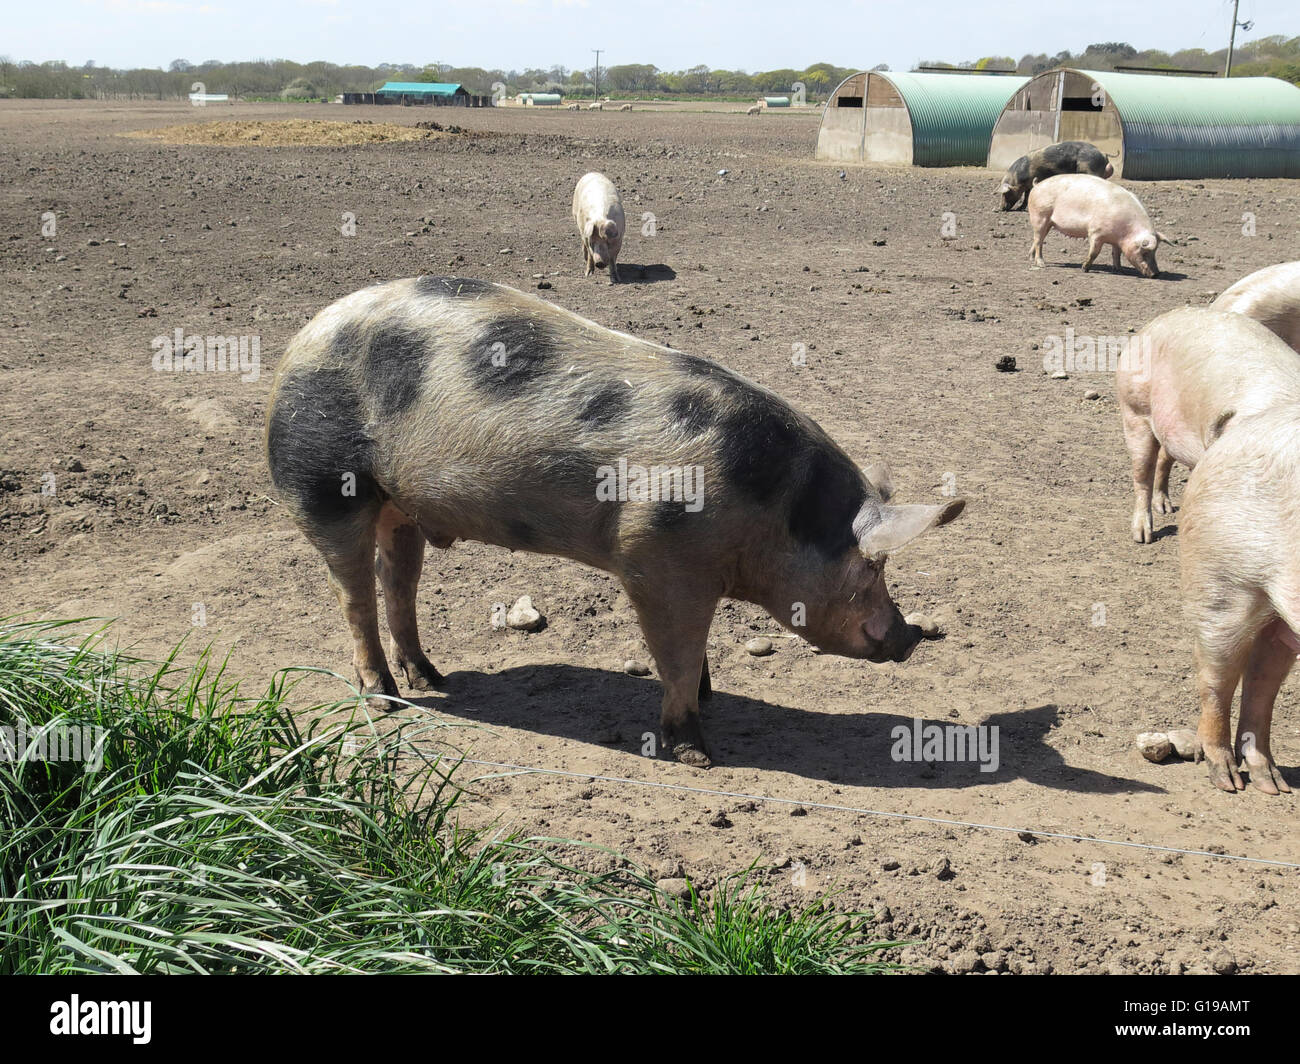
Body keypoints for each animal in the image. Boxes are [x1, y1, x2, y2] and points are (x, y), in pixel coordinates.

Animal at [265, 276, 965, 768]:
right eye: (871, 570)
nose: (910, 636)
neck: (778, 514)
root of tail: (298, 340)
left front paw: (710, 696)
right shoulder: (654, 554)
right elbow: (677, 652)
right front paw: (697, 752)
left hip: (400, 503)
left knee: (399, 582)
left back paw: (431, 677)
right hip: (321, 480)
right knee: (353, 595)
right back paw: (384, 696)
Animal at [1028, 173, 1169, 278]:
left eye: (1155, 251)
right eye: (1145, 252)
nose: (1157, 274)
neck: (1127, 231)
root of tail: (1036, 185)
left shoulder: (1117, 241)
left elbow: (1116, 254)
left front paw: (1120, 270)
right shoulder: (1096, 233)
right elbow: (1094, 253)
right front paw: (1084, 268)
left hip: (1048, 223)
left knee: (1037, 239)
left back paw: (1030, 258)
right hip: (1040, 216)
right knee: (1039, 240)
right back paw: (1042, 264)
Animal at [1116, 307, 1300, 544]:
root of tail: (1152, 324)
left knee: (1165, 458)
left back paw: (1166, 508)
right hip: (1133, 409)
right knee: (1142, 473)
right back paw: (1143, 536)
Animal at [1180, 403, 1300, 793]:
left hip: (1275, 614)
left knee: (1262, 678)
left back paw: (1273, 785)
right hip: (1221, 583)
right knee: (1215, 677)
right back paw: (1229, 782)